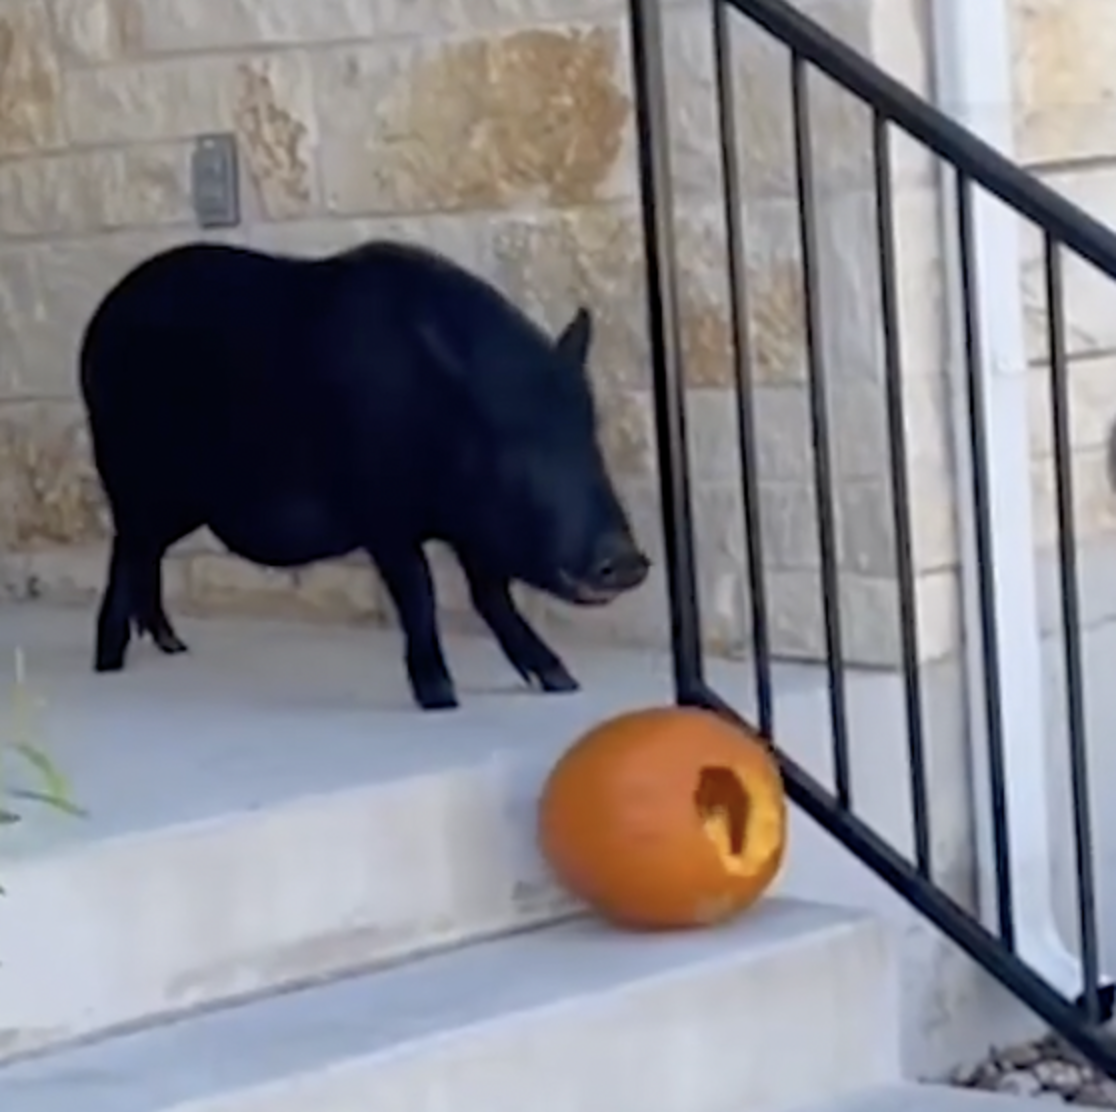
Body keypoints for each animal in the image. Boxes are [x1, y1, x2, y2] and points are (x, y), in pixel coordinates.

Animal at [78, 238, 651, 711]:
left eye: (588, 434)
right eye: (512, 448)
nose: (627, 560)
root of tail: (100, 322)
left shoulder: (473, 529)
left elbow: (491, 596)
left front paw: (562, 682)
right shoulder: (382, 514)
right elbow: (419, 592)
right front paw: (441, 699)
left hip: (181, 503)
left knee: (144, 553)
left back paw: (173, 647)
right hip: (133, 478)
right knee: (126, 551)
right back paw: (108, 666)